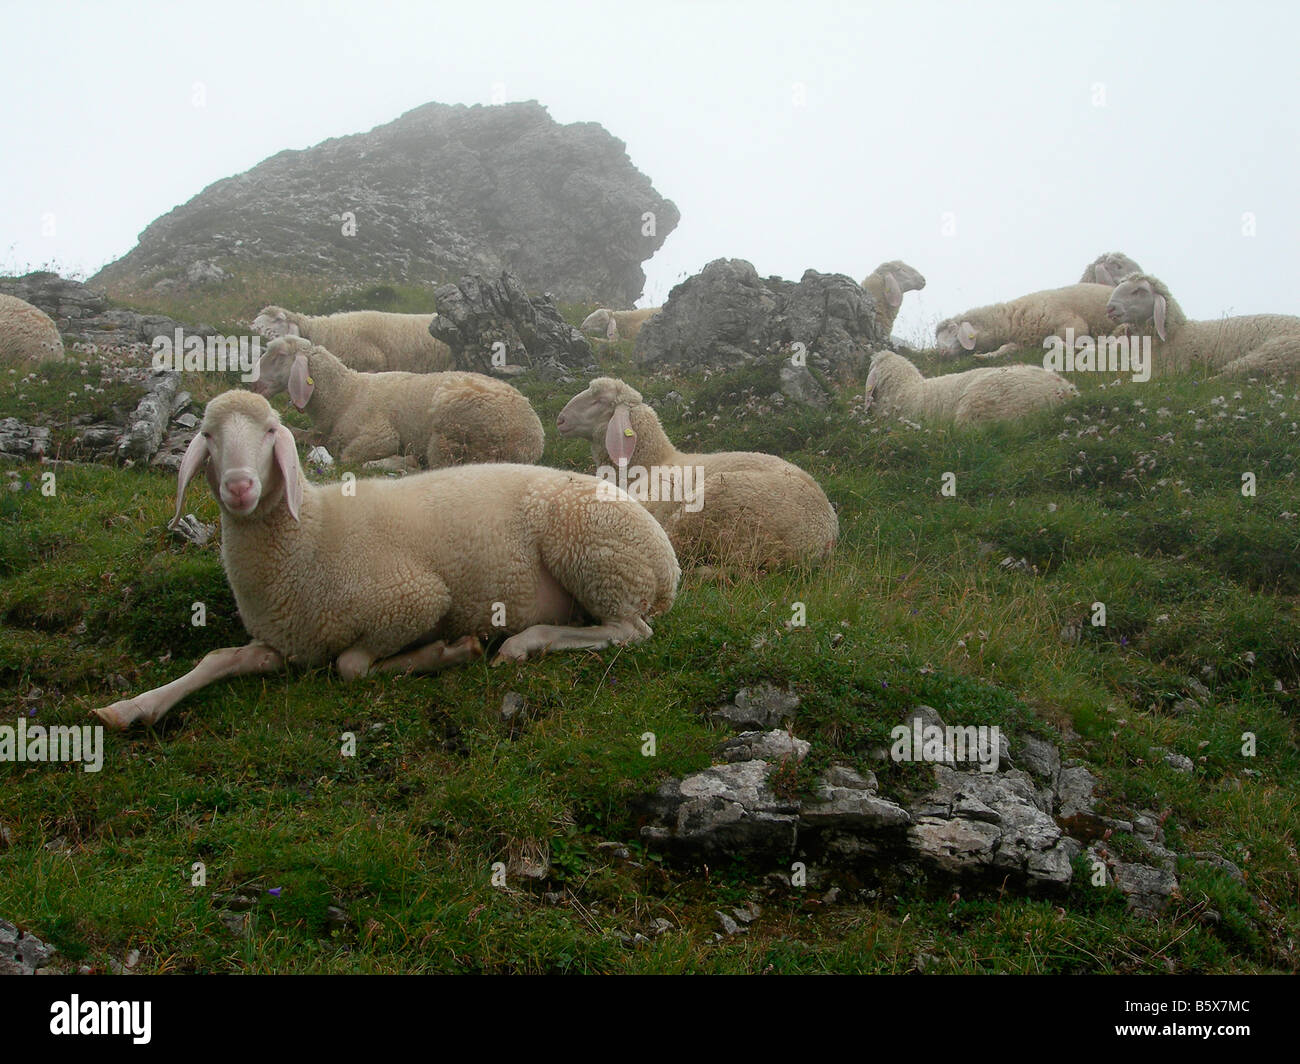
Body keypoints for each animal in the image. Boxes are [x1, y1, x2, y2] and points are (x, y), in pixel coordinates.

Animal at [91, 389, 680, 729]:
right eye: (208, 435)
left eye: (271, 430)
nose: (239, 487)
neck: (309, 535)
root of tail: (669, 568)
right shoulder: (288, 641)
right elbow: (219, 659)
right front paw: (131, 708)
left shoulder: (413, 599)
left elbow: (352, 667)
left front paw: (447, 651)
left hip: (594, 555)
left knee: (628, 631)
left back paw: (522, 644)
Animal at [250, 336, 544, 467]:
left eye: (279, 356)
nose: (253, 385)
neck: (344, 395)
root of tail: (531, 441)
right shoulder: (322, 431)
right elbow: (300, 433)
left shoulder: (380, 435)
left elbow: (347, 456)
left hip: (450, 425)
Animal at [934, 283, 1117, 361]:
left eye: (952, 330)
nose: (941, 352)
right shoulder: (1020, 342)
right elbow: (1006, 348)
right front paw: (985, 355)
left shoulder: (1073, 323)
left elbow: (1057, 341)